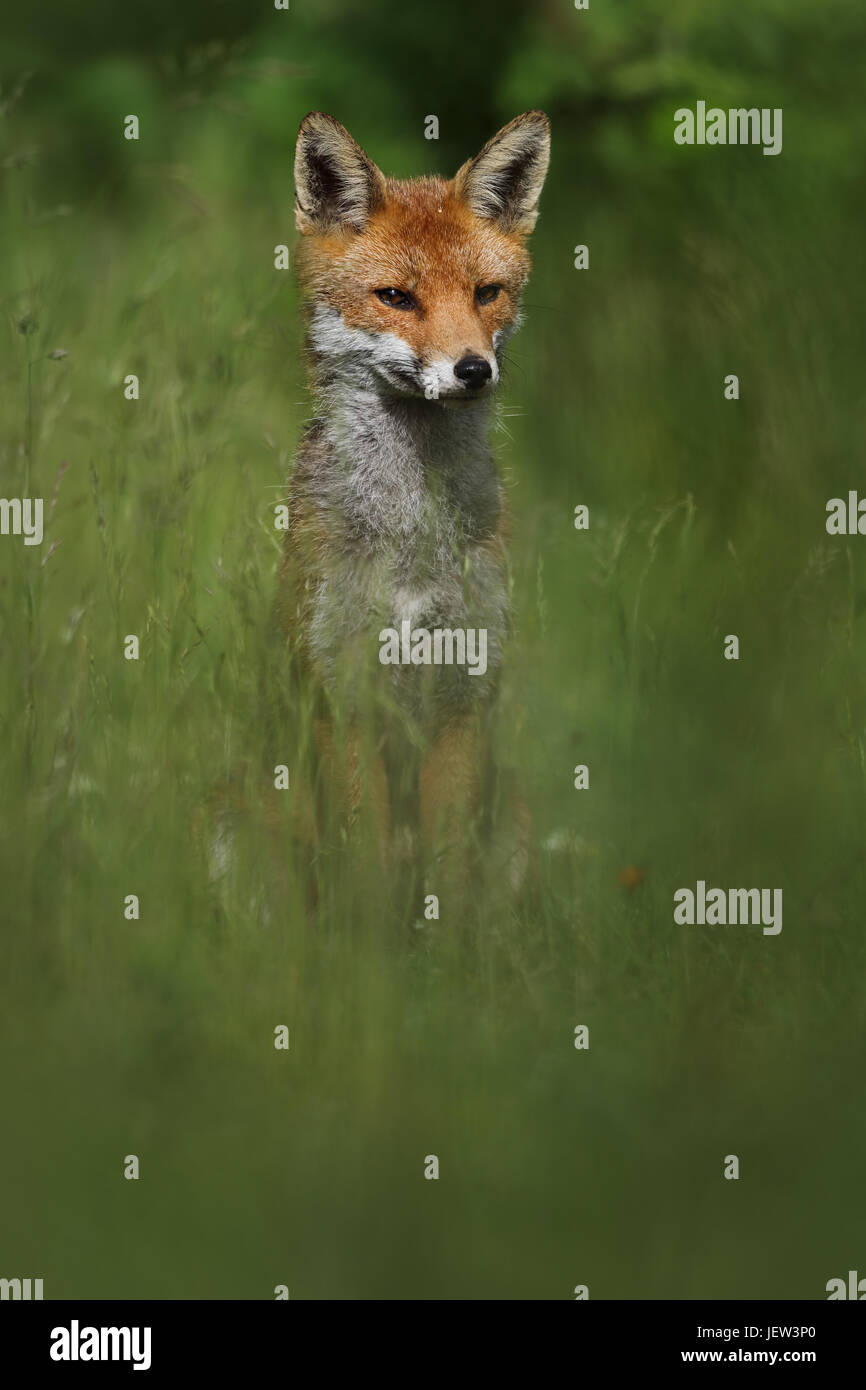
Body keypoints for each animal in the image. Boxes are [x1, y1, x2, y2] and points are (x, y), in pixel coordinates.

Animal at [278, 110, 550, 899]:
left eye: (487, 293)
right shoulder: (343, 694)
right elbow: (364, 873)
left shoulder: (464, 693)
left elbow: (450, 875)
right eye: (397, 298)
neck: (411, 532)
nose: (473, 369)